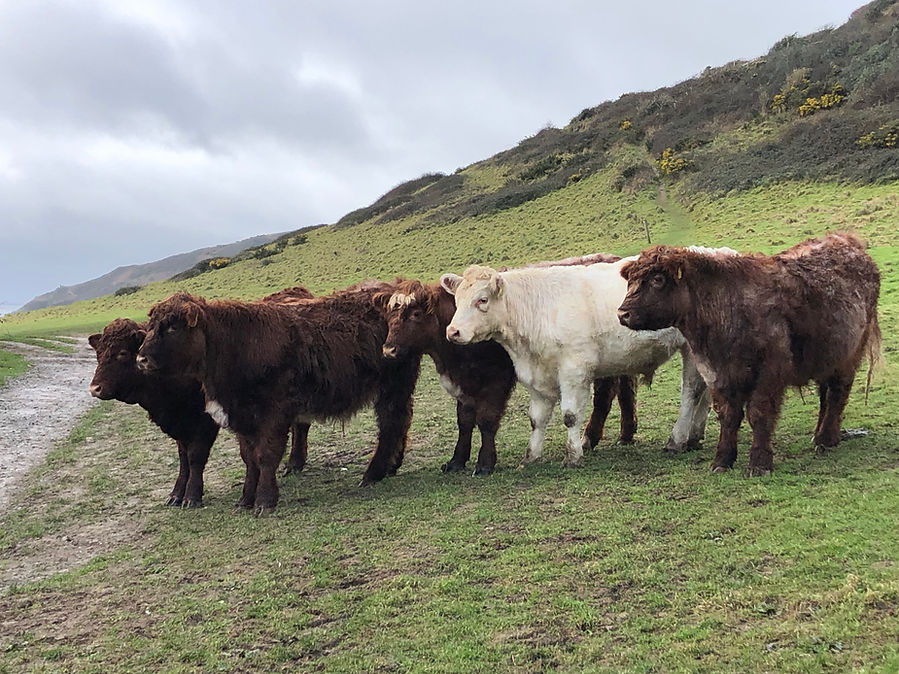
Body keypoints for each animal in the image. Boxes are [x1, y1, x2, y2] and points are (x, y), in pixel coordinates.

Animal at [88, 286, 316, 508]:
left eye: (122, 353)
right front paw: (176, 494)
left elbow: (195, 457)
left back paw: (294, 463)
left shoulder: (204, 422)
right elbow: (183, 459)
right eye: (98, 354)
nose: (95, 388)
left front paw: (191, 496)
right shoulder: (180, 424)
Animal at [136, 284, 422, 514]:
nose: (141, 359)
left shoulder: (274, 414)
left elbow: (266, 455)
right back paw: (391, 466)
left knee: (391, 424)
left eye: (173, 326)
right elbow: (249, 458)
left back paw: (373, 473)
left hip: (394, 384)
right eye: (150, 327)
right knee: (401, 421)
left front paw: (264, 501)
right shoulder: (242, 417)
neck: (236, 344)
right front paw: (245, 499)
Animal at [376, 276, 637, 476]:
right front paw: (456, 461)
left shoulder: (495, 382)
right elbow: (464, 422)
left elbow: (486, 421)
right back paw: (624, 433)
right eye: (388, 316)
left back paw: (592, 437)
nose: (388, 350)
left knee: (605, 396)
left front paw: (485, 463)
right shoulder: (464, 386)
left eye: (415, 314)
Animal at [441, 261, 711, 468]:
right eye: (457, 300)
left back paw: (677, 440)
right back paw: (694, 436)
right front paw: (531, 456)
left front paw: (572, 455)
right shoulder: (537, 377)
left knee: (691, 392)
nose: (453, 332)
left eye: (482, 300)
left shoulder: (574, 370)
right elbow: (536, 419)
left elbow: (570, 416)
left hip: (691, 349)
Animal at [617, 232, 881, 476]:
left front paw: (760, 463)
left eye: (658, 279)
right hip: (826, 355)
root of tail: (847, 241)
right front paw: (722, 461)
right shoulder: (715, 373)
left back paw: (826, 440)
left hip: (850, 354)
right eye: (631, 281)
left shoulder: (770, 373)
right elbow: (728, 416)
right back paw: (819, 436)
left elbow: (758, 413)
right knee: (825, 394)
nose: (622, 313)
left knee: (838, 393)